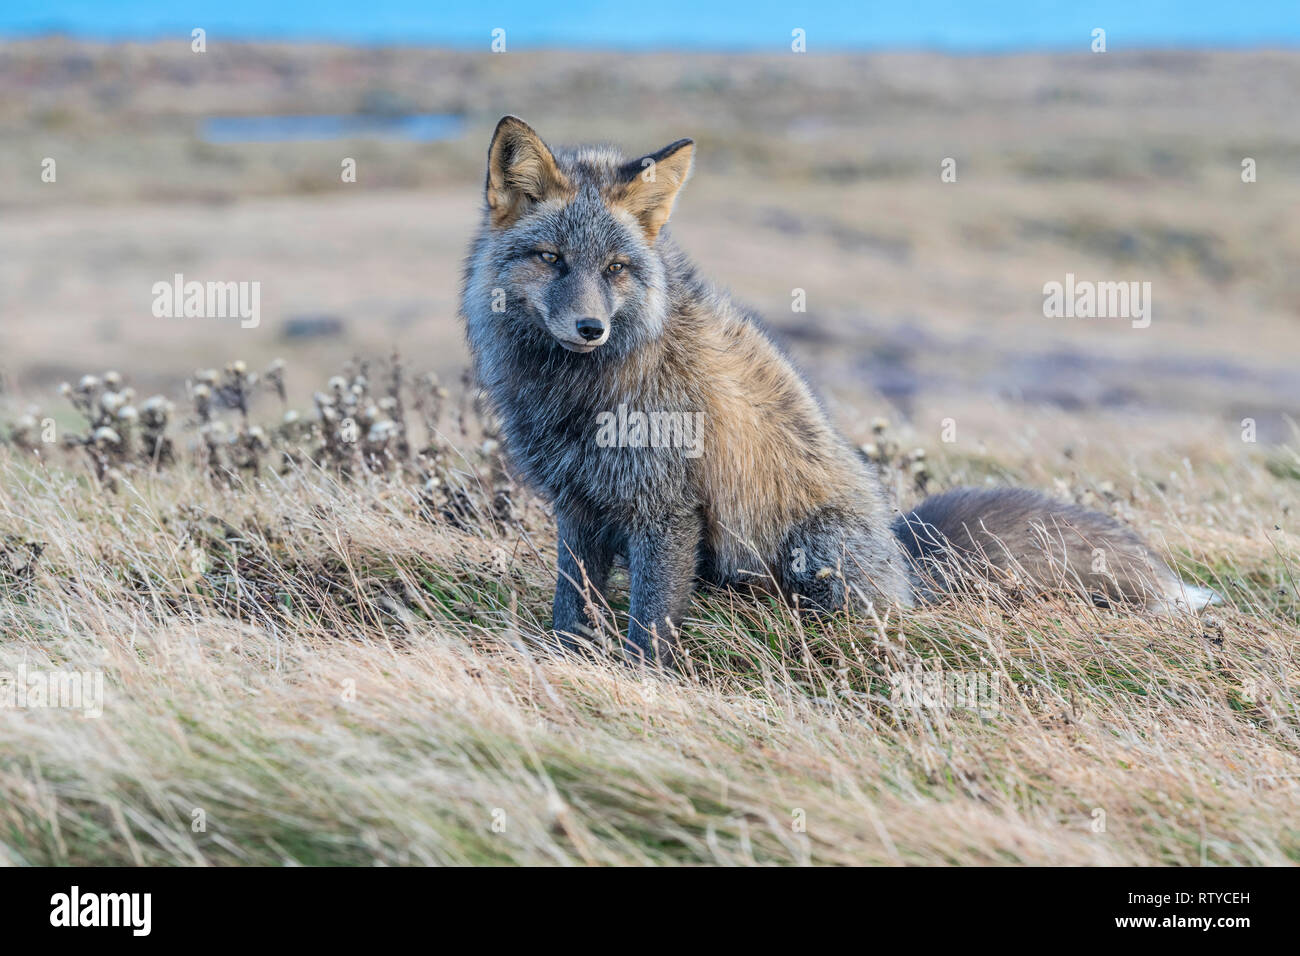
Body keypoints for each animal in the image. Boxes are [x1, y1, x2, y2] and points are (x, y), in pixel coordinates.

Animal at [460, 116, 1218, 665]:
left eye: (617, 268)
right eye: (552, 259)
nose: (589, 328)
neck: (582, 394)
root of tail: (904, 566)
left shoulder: (666, 512)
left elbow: (649, 628)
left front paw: (642, 682)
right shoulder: (579, 506)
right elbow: (571, 609)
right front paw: (563, 663)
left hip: (814, 552)